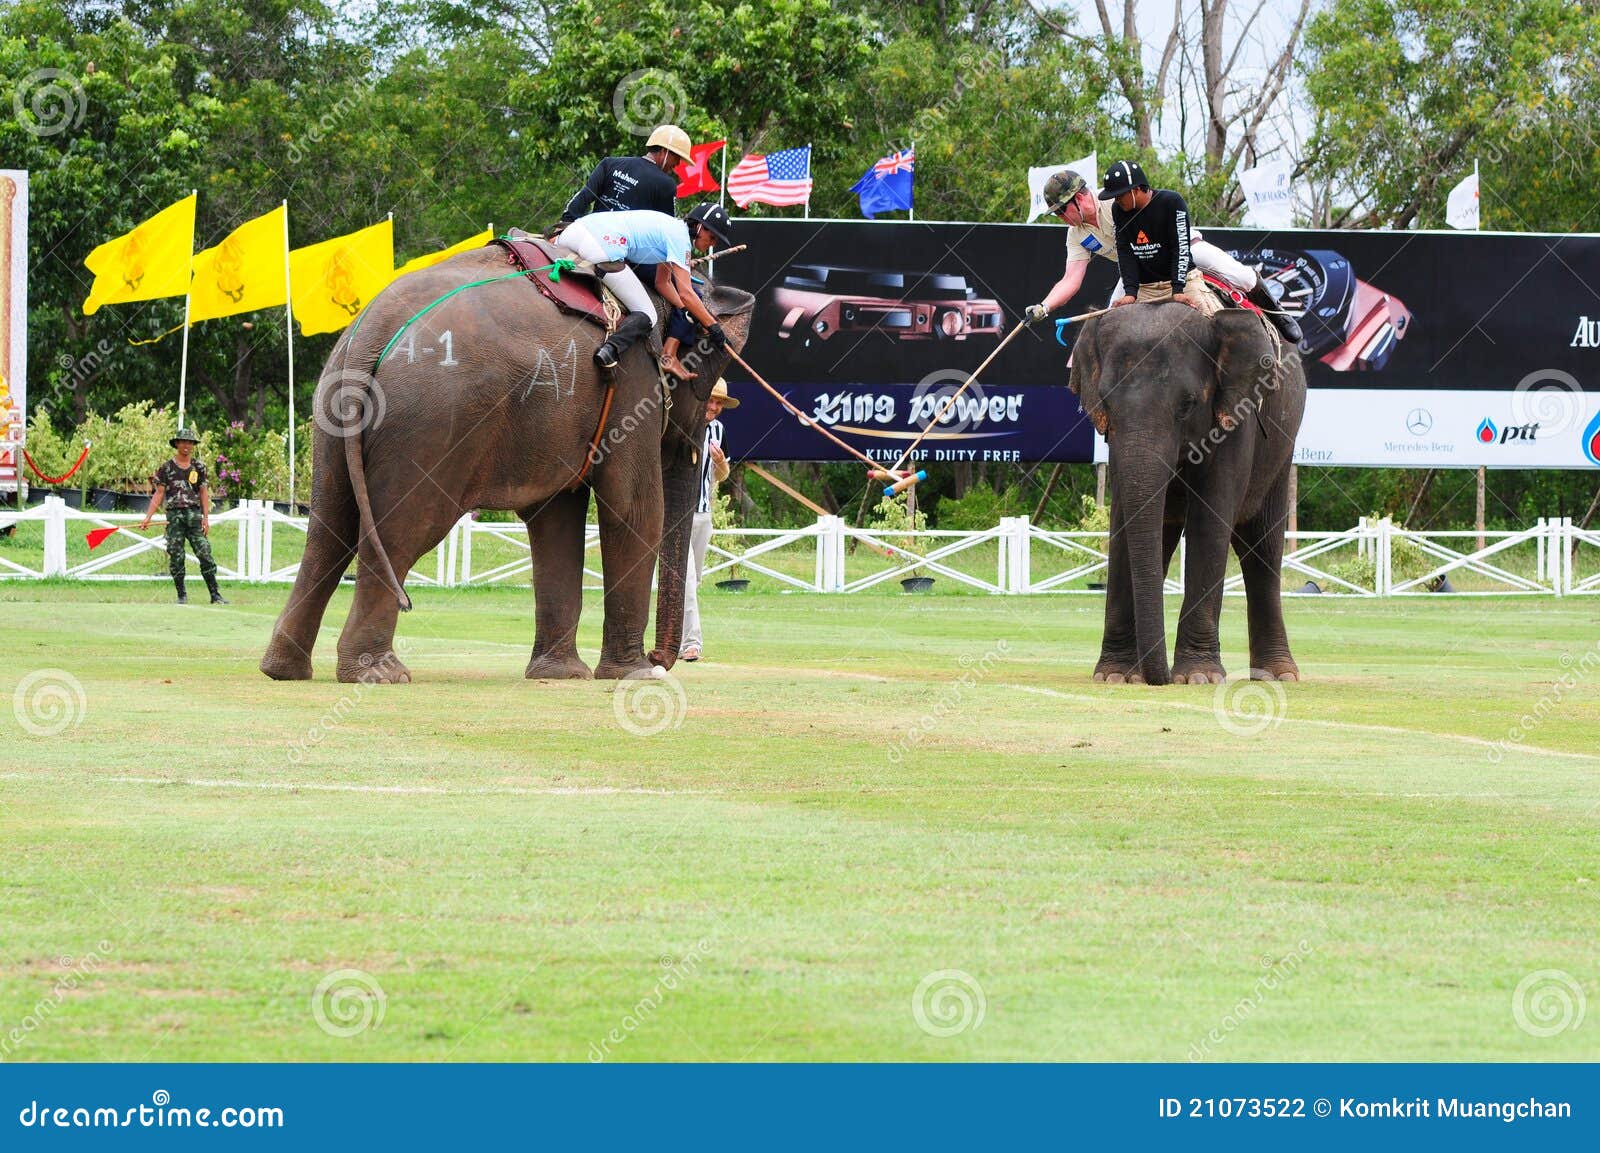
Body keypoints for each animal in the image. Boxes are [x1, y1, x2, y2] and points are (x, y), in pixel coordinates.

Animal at [258, 244, 755, 683]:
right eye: (705, 372)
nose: (660, 659)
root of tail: (371, 331)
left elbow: (557, 519)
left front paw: (561, 676)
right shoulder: (632, 387)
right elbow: (633, 509)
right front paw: (634, 674)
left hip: (333, 412)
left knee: (329, 528)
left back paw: (284, 670)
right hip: (429, 426)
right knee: (401, 531)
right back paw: (379, 674)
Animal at [1069, 302, 1307, 686]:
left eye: (1188, 404)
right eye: (1106, 402)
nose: (1161, 677)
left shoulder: (1235, 416)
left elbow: (1210, 520)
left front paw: (1199, 677)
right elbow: (1124, 520)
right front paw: (1115, 676)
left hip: (1281, 453)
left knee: (1261, 547)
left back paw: (1277, 675)